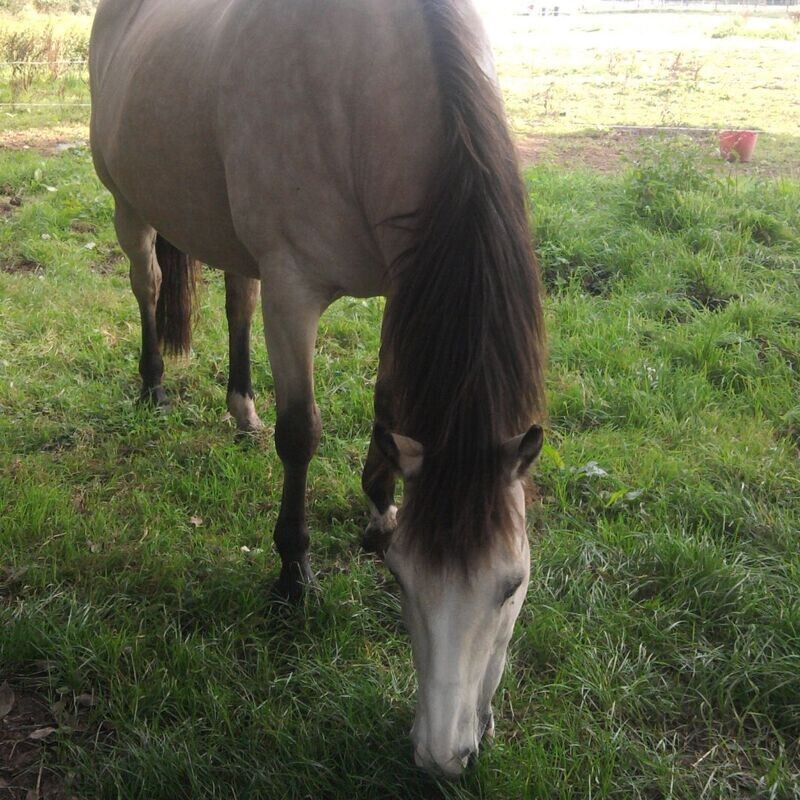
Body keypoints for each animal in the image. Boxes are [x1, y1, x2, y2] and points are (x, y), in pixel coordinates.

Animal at [90, 0, 546, 778]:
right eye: (404, 582)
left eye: (512, 584)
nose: (443, 757)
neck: (363, 86)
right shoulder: (295, 290)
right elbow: (300, 433)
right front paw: (293, 574)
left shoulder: (401, 281)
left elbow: (389, 409)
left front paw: (380, 508)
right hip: (129, 204)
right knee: (147, 282)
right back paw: (153, 385)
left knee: (237, 297)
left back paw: (240, 408)